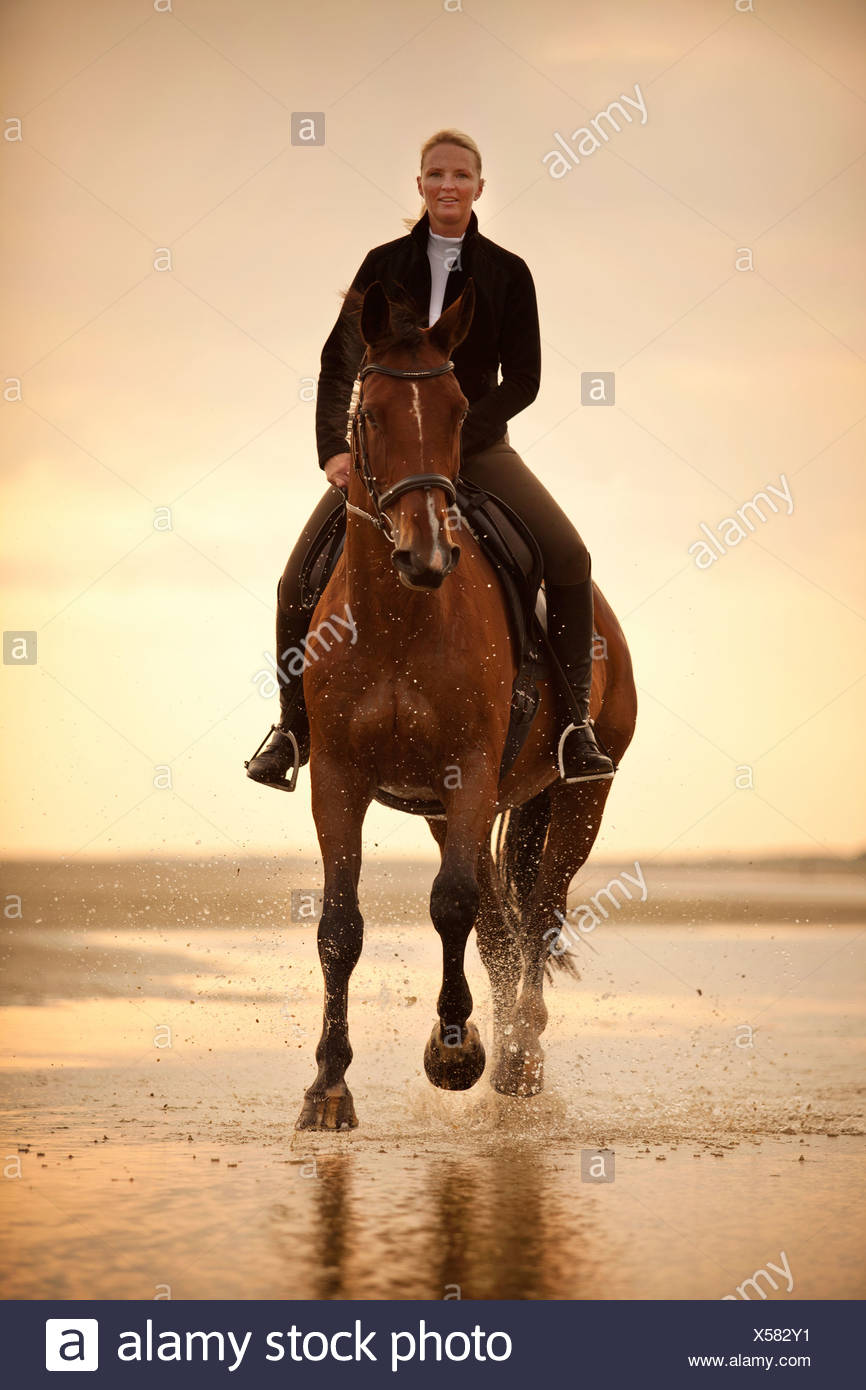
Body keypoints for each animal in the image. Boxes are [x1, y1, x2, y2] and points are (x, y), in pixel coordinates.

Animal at [295, 278, 637, 1130]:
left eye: (456, 410)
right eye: (370, 414)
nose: (426, 555)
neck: (401, 618)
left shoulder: (470, 769)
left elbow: (450, 904)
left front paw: (455, 1052)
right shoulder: (338, 780)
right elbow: (340, 927)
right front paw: (329, 1087)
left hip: (577, 798)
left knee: (538, 914)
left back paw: (518, 1058)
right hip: (454, 812)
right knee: (501, 927)